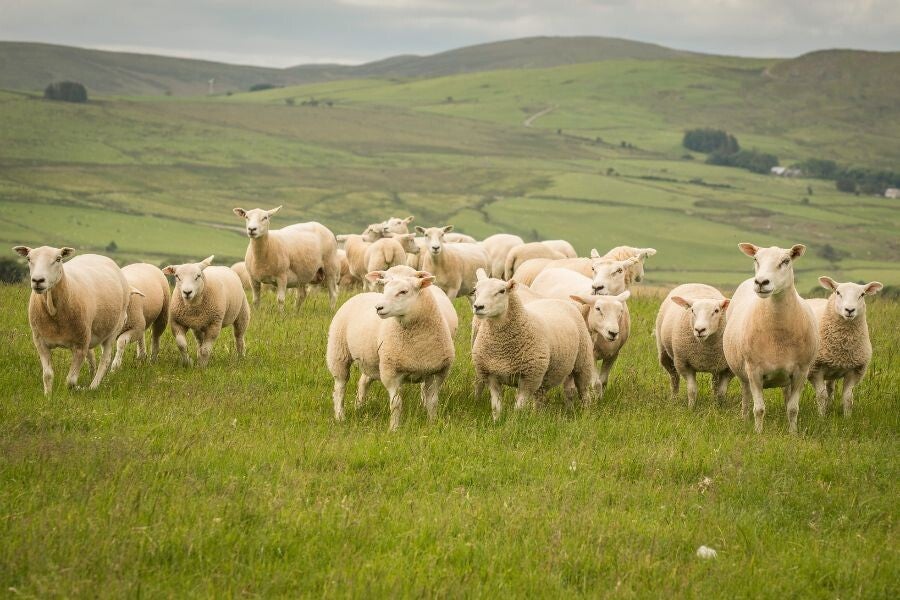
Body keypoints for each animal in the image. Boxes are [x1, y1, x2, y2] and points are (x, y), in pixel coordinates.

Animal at [13, 245, 129, 394]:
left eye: (58, 259)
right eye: (28, 259)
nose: (38, 280)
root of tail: (99, 256)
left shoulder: (80, 345)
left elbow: (71, 380)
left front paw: (77, 388)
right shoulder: (40, 342)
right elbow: (47, 375)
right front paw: (48, 395)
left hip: (113, 329)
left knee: (105, 359)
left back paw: (93, 385)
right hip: (89, 335)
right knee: (92, 356)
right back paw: (92, 375)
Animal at [326, 270, 455, 431]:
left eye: (403, 291)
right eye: (384, 288)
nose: (378, 308)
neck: (419, 345)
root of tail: (360, 294)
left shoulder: (437, 372)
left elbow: (432, 402)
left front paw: (432, 424)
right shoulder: (391, 372)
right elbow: (396, 403)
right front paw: (394, 429)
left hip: (372, 360)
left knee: (363, 381)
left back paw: (359, 406)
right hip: (338, 353)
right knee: (339, 388)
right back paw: (340, 417)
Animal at [471, 269, 596, 419]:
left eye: (502, 291)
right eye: (475, 290)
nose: (478, 307)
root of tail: (558, 300)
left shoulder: (528, 379)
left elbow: (518, 408)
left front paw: (514, 422)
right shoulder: (492, 376)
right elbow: (496, 407)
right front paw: (497, 421)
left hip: (582, 364)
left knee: (584, 392)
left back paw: (586, 413)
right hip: (545, 373)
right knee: (541, 396)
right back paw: (541, 415)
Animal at [723, 243, 818, 433]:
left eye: (786, 261)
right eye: (756, 259)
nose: (760, 282)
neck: (778, 335)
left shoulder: (801, 371)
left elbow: (793, 408)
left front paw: (793, 433)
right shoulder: (754, 371)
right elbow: (759, 409)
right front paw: (758, 433)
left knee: (786, 396)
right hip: (743, 373)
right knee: (746, 397)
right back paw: (744, 419)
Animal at [806, 277, 883, 417]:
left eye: (862, 294)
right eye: (838, 292)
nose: (850, 310)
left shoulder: (854, 370)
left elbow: (848, 398)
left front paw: (847, 418)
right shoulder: (815, 370)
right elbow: (821, 396)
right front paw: (821, 417)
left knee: (830, 388)